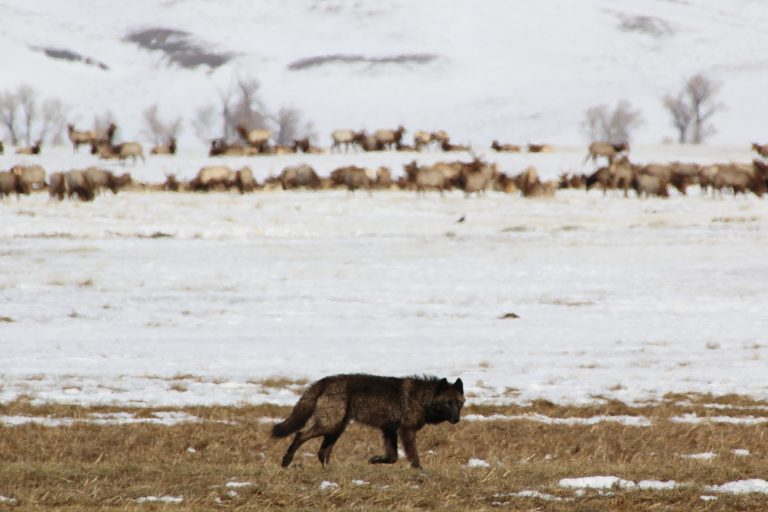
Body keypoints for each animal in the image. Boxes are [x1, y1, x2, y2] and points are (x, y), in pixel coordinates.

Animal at [272, 374, 464, 468]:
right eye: (448, 403)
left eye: (459, 403)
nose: (457, 419)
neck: (424, 399)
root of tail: (324, 381)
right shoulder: (406, 431)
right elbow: (413, 456)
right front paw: (420, 473)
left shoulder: (389, 430)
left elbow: (393, 457)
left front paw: (375, 460)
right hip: (330, 425)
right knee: (300, 435)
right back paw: (286, 461)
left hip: (337, 428)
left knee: (322, 452)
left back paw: (330, 473)